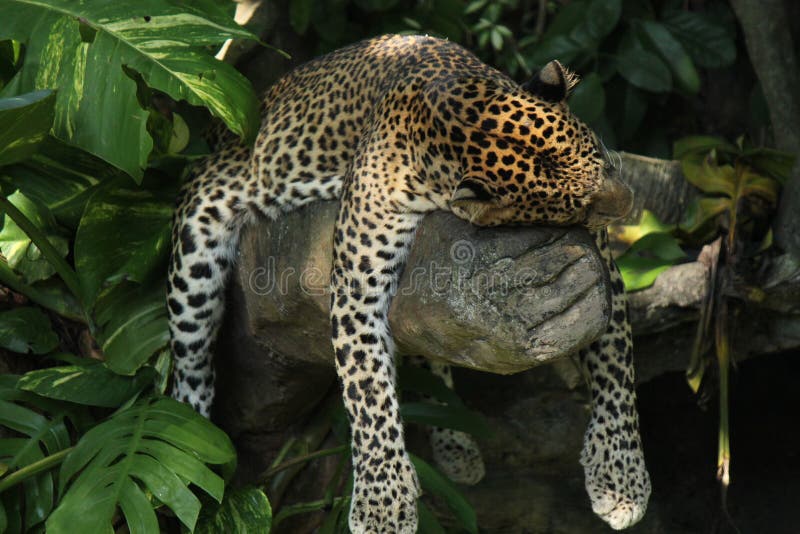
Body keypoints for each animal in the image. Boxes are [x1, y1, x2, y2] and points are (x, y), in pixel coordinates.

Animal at [167, 34, 650, 532]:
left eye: (602, 160)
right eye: (574, 207)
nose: (630, 204)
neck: (452, 119)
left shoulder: (602, 268)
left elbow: (615, 363)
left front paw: (620, 476)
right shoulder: (356, 287)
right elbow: (367, 391)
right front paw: (382, 506)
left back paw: (456, 445)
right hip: (197, 241)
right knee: (190, 362)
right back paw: (190, 442)